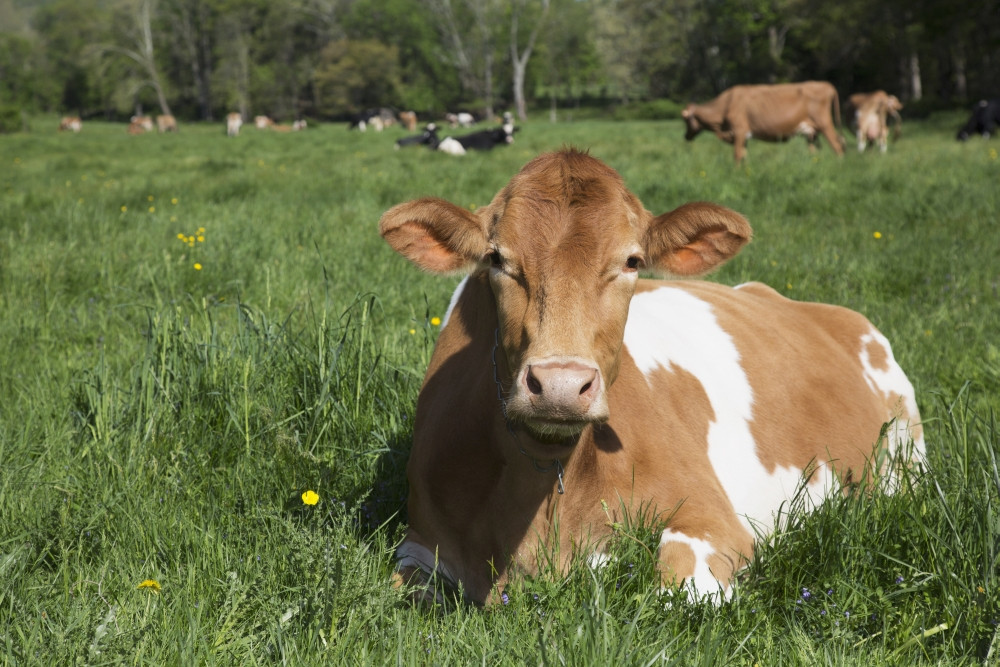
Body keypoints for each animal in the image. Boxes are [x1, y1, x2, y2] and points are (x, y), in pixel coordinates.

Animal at [381, 148, 924, 606]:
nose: (560, 385)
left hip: (905, 460)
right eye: (497, 258)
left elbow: (676, 587)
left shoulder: (714, 518)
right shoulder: (420, 541)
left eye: (632, 261)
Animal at [682, 82, 845, 163]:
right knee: (816, 150)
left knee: (837, 145)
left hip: (824, 124)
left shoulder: (739, 130)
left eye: (685, 120)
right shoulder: (743, 136)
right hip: (811, 132)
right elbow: (743, 155)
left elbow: (737, 155)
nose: (685, 136)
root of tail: (827, 85)